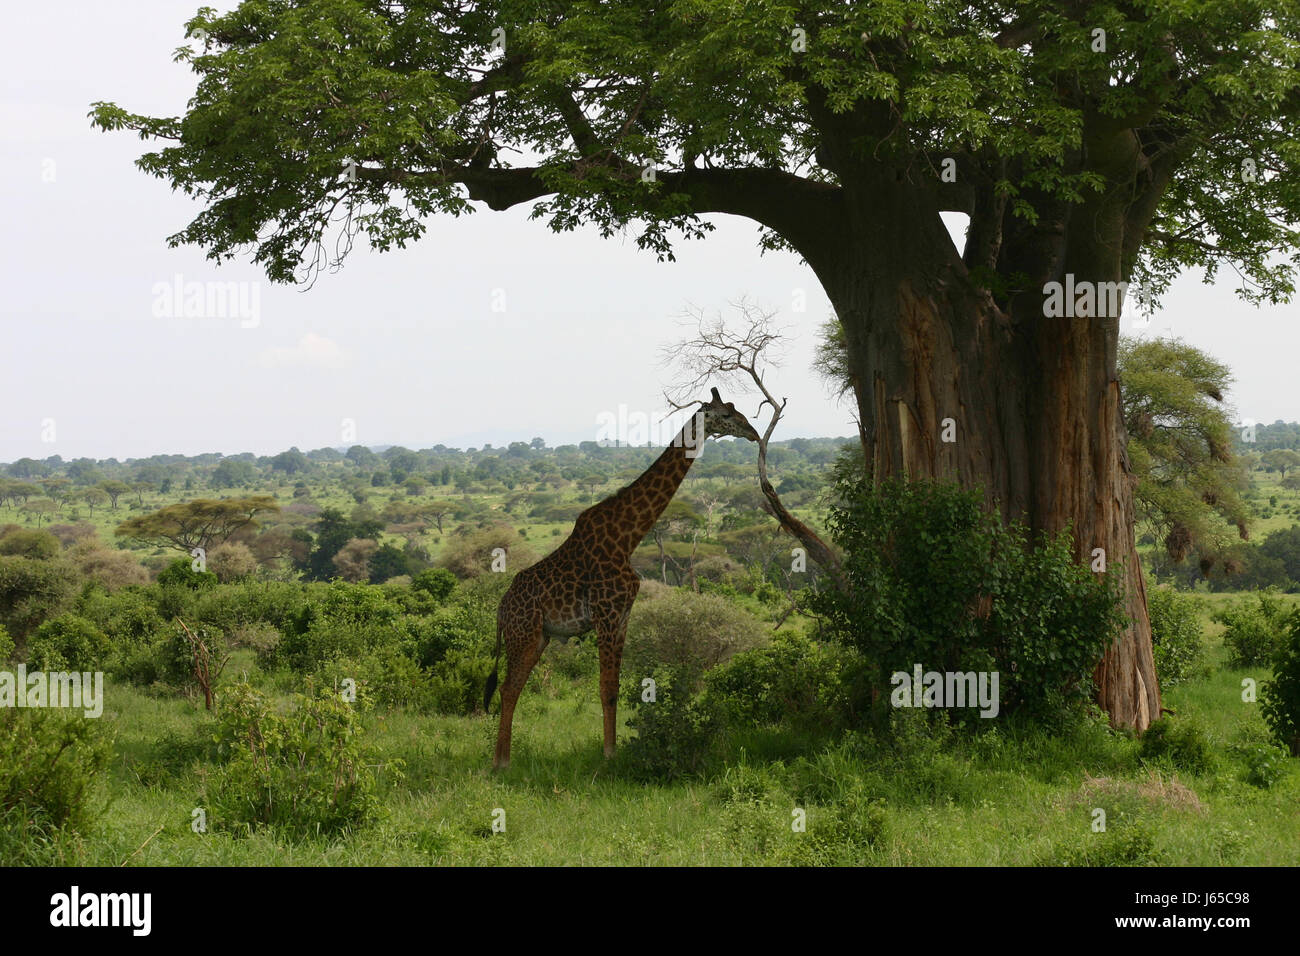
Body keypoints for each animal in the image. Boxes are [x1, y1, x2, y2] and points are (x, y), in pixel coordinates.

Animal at [483, 387, 761, 769]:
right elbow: (605, 688)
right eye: (727, 415)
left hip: (539, 636)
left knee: (512, 686)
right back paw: (501, 763)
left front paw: (613, 751)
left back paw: (504, 759)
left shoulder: (624, 615)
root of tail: (500, 607)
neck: (628, 537)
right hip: (522, 633)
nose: (754, 432)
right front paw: (608, 755)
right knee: (508, 687)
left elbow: (614, 687)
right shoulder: (606, 614)